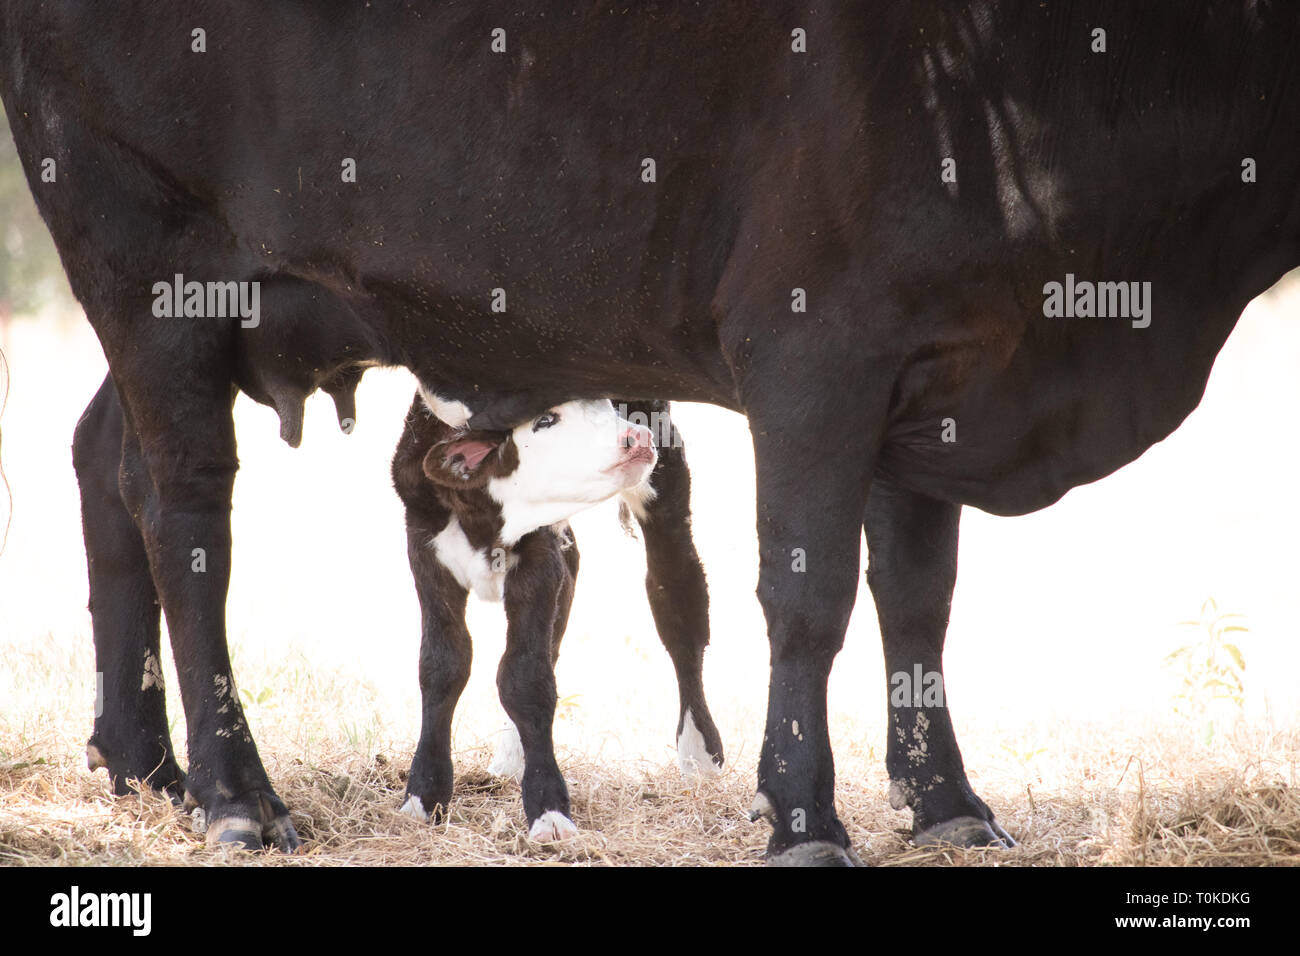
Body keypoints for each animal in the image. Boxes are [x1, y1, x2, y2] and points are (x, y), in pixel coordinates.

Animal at [3, 2, 1298, 865]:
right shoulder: (819, 352)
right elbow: (810, 595)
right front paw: (804, 815)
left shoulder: (932, 375)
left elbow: (917, 598)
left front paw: (947, 803)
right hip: (148, 270)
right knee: (185, 514)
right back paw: (234, 796)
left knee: (105, 461)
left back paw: (145, 760)